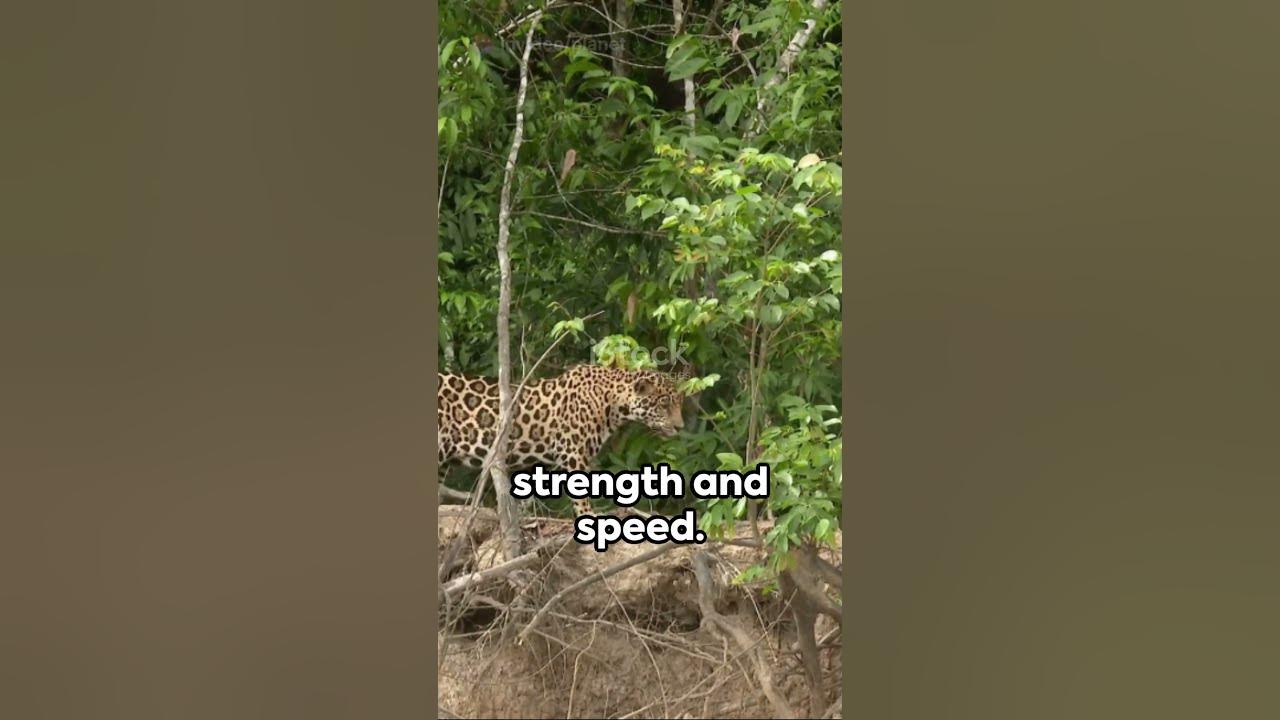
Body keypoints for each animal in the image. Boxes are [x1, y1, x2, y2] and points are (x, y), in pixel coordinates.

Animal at [437, 364, 693, 517]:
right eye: (664, 404)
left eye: (679, 402)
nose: (680, 427)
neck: (611, 404)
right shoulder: (573, 453)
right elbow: (582, 495)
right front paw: (588, 517)